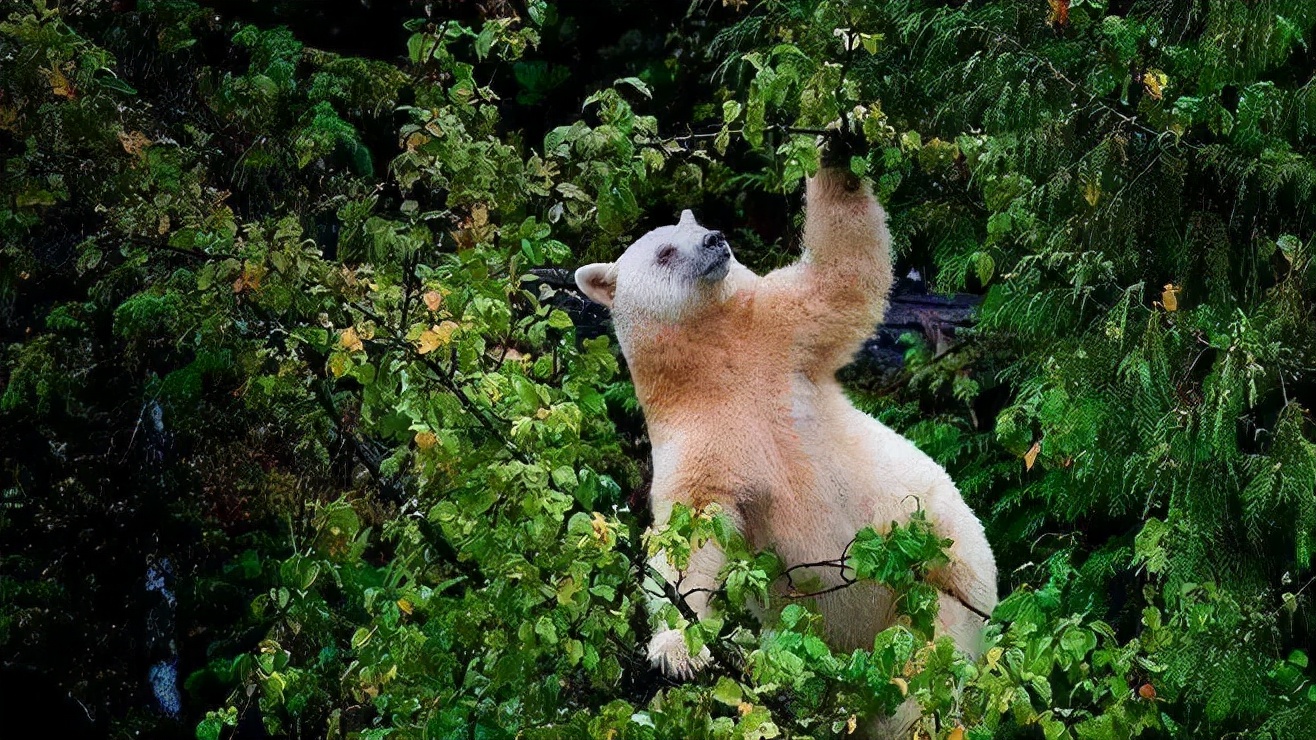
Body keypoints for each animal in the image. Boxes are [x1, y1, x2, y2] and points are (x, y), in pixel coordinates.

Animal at [575, 166, 998, 709]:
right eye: (665, 250)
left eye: (699, 226)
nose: (715, 240)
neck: (718, 362)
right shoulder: (695, 437)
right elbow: (690, 534)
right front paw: (677, 651)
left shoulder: (784, 335)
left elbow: (841, 279)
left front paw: (838, 156)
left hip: (946, 587)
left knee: (922, 672)